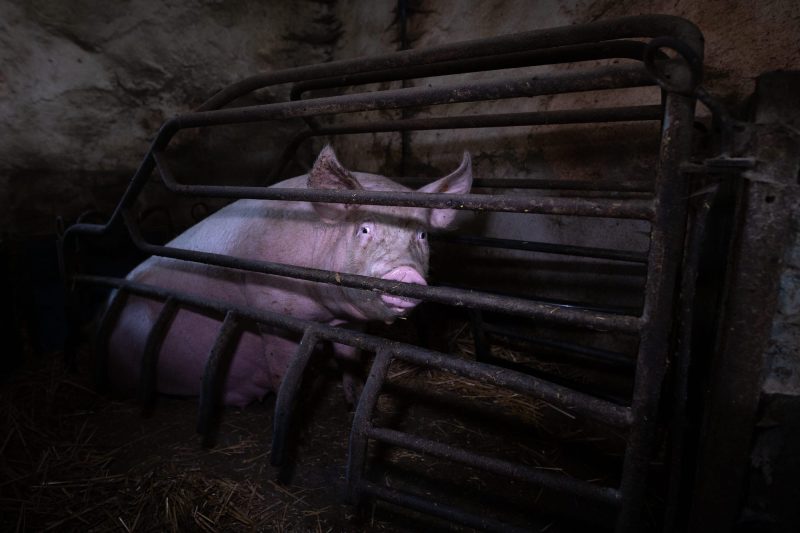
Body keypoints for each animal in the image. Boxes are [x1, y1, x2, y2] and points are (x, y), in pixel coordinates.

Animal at [107, 146, 473, 407]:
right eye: (364, 229)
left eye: (422, 235)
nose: (405, 273)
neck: (326, 314)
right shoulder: (271, 311)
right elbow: (283, 369)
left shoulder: (352, 323)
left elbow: (350, 358)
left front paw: (353, 400)